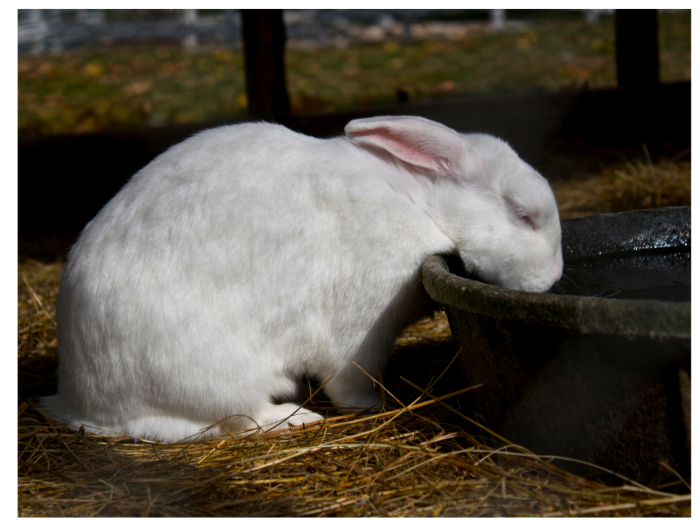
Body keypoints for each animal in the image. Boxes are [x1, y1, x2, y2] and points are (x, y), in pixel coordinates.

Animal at [41, 115, 563, 443]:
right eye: (524, 216)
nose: (552, 280)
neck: (419, 201)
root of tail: (81, 402)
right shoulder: (359, 332)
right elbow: (349, 379)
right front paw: (371, 406)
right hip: (213, 375)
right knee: (233, 419)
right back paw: (296, 418)